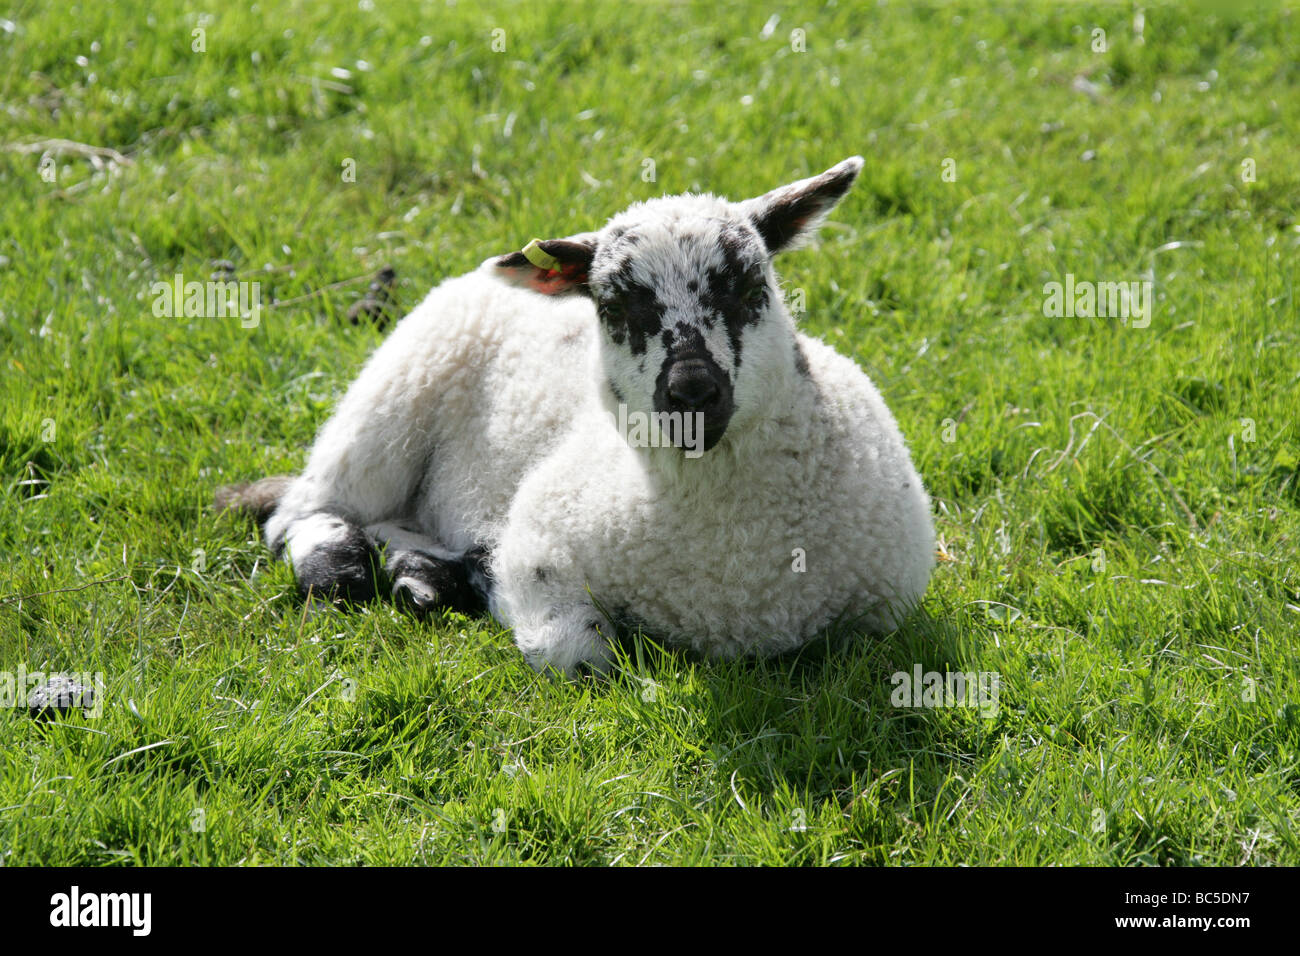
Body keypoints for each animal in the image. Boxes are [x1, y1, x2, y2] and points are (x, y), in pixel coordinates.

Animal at [219, 157, 935, 676]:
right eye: (613, 309)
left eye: (752, 289)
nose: (691, 391)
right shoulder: (542, 542)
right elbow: (580, 658)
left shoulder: (888, 613)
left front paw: (446, 576)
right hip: (394, 393)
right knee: (307, 509)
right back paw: (347, 566)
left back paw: (418, 575)